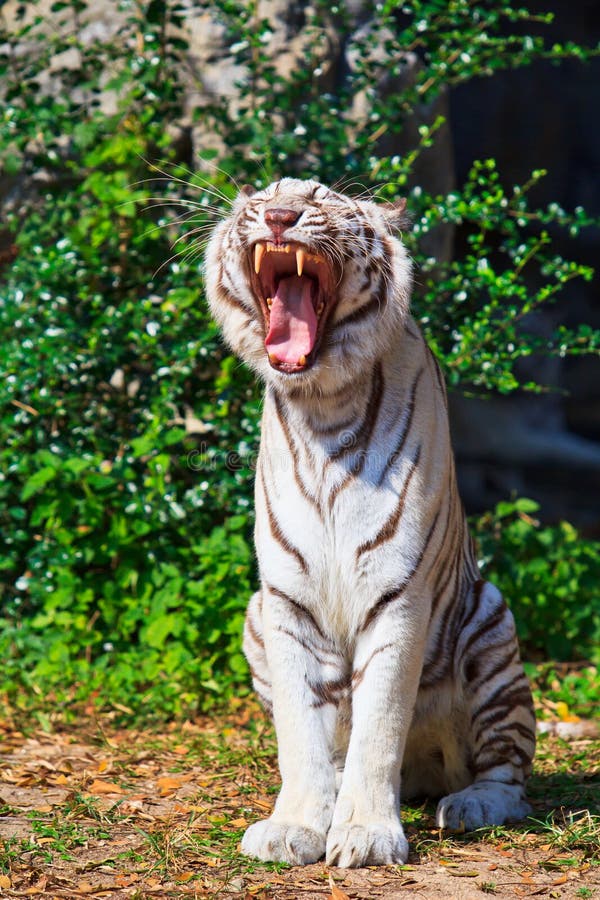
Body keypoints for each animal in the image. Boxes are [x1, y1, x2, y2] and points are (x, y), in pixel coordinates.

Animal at [204, 177, 536, 868]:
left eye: (319, 198)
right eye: (263, 198)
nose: (281, 215)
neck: (321, 403)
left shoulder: (398, 592)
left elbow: (380, 722)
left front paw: (365, 835)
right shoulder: (286, 600)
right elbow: (301, 732)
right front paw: (296, 826)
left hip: (491, 627)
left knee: (508, 772)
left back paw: (470, 806)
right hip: (253, 619)